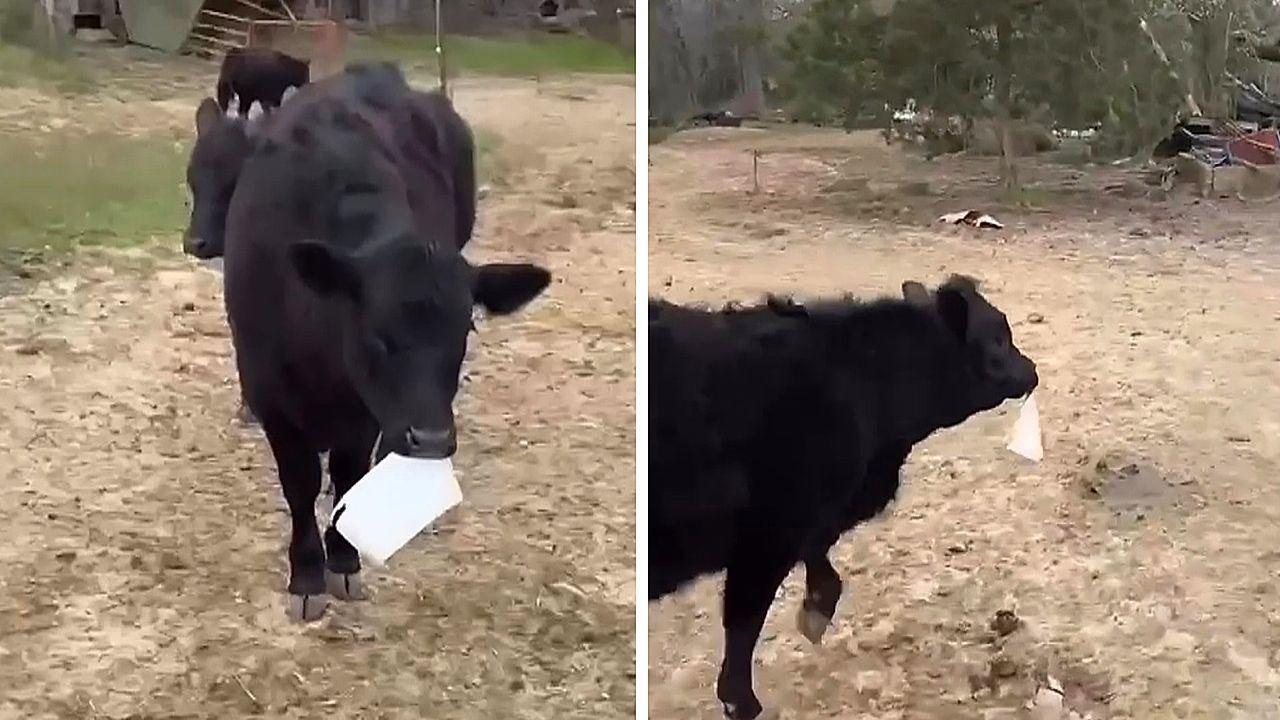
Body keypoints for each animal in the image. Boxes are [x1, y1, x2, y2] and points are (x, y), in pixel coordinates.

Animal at [190, 62, 552, 622]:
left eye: (466, 328)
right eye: (374, 331)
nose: (431, 439)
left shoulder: (361, 411)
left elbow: (347, 472)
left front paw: (343, 559)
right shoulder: (271, 395)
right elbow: (299, 483)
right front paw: (306, 575)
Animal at [648, 275, 1039, 720]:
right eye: (998, 339)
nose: (1032, 370)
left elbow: (819, 558)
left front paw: (815, 611)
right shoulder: (770, 535)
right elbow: (744, 623)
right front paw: (741, 700)